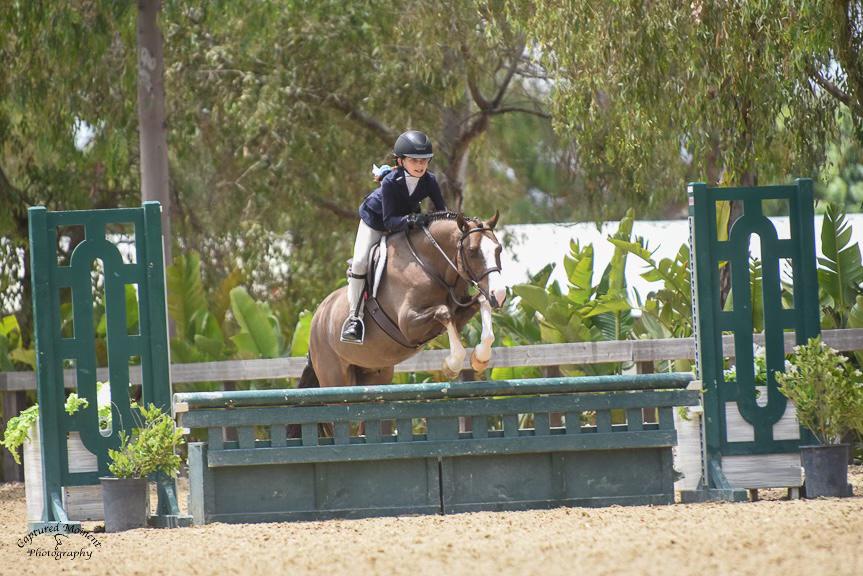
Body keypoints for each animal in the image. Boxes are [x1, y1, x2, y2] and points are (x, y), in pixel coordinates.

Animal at [299, 211, 507, 390]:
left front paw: (480, 358)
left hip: (373, 374)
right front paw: (452, 364)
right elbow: (444, 312)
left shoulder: (461, 310)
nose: (500, 294)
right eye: (472, 251)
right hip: (334, 375)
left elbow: (481, 302)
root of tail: (318, 316)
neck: (429, 265)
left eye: (499, 249)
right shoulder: (408, 324)